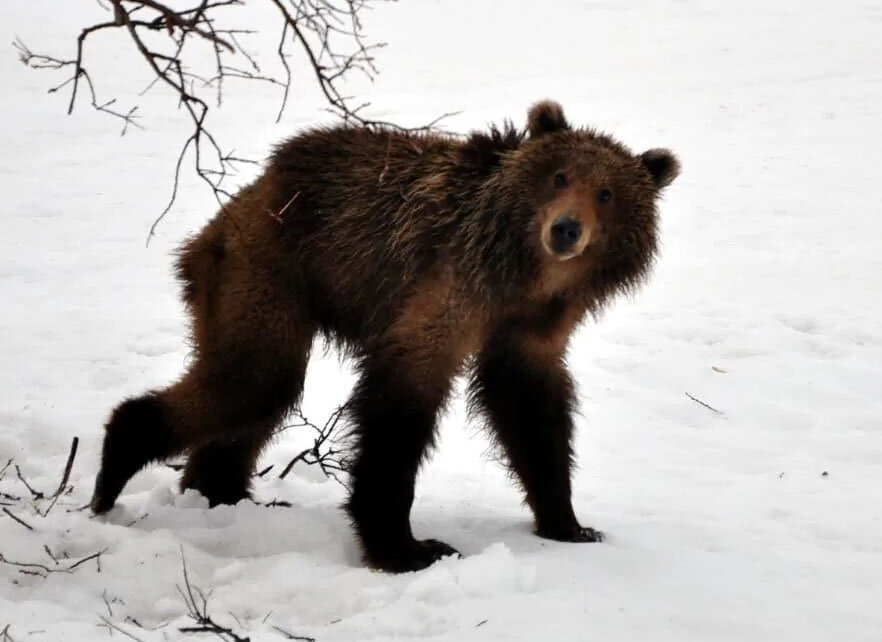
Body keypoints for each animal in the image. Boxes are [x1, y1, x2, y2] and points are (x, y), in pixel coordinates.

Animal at [91, 99, 680, 568]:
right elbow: (400, 405)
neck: (525, 275)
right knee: (254, 379)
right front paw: (408, 546)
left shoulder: (532, 325)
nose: (565, 229)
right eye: (558, 177)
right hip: (266, 269)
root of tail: (241, 200)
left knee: (256, 395)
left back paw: (223, 492)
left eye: (606, 193)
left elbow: (530, 409)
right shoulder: (451, 285)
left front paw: (570, 523)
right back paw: (115, 468)